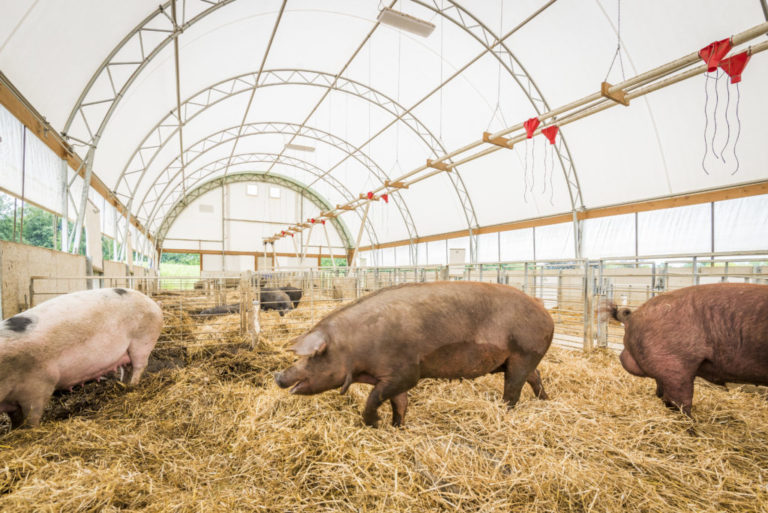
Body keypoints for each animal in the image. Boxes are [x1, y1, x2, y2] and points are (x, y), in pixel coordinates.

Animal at [0, 287, 163, 429]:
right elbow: (15, 418)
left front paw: (29, 430)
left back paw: (132, 386)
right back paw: (123, 385)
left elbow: (31, 417)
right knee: (126, 368)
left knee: (139, 366)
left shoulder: (40, 384)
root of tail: (153, 304)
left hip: (143, 341)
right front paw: (13, 430)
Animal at [274, 282, 553, 427]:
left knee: (513, 390)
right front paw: (397, 426)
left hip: (523, 354)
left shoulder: (405, 372)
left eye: (312, 356)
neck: (354, 347)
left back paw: (506, 413)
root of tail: (544, 310)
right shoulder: (394, 378)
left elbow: (375, 399)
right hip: (523, 359)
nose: (278, 376)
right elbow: (400, 403)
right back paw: (546, 402)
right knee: (536, 377)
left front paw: (372, 424)